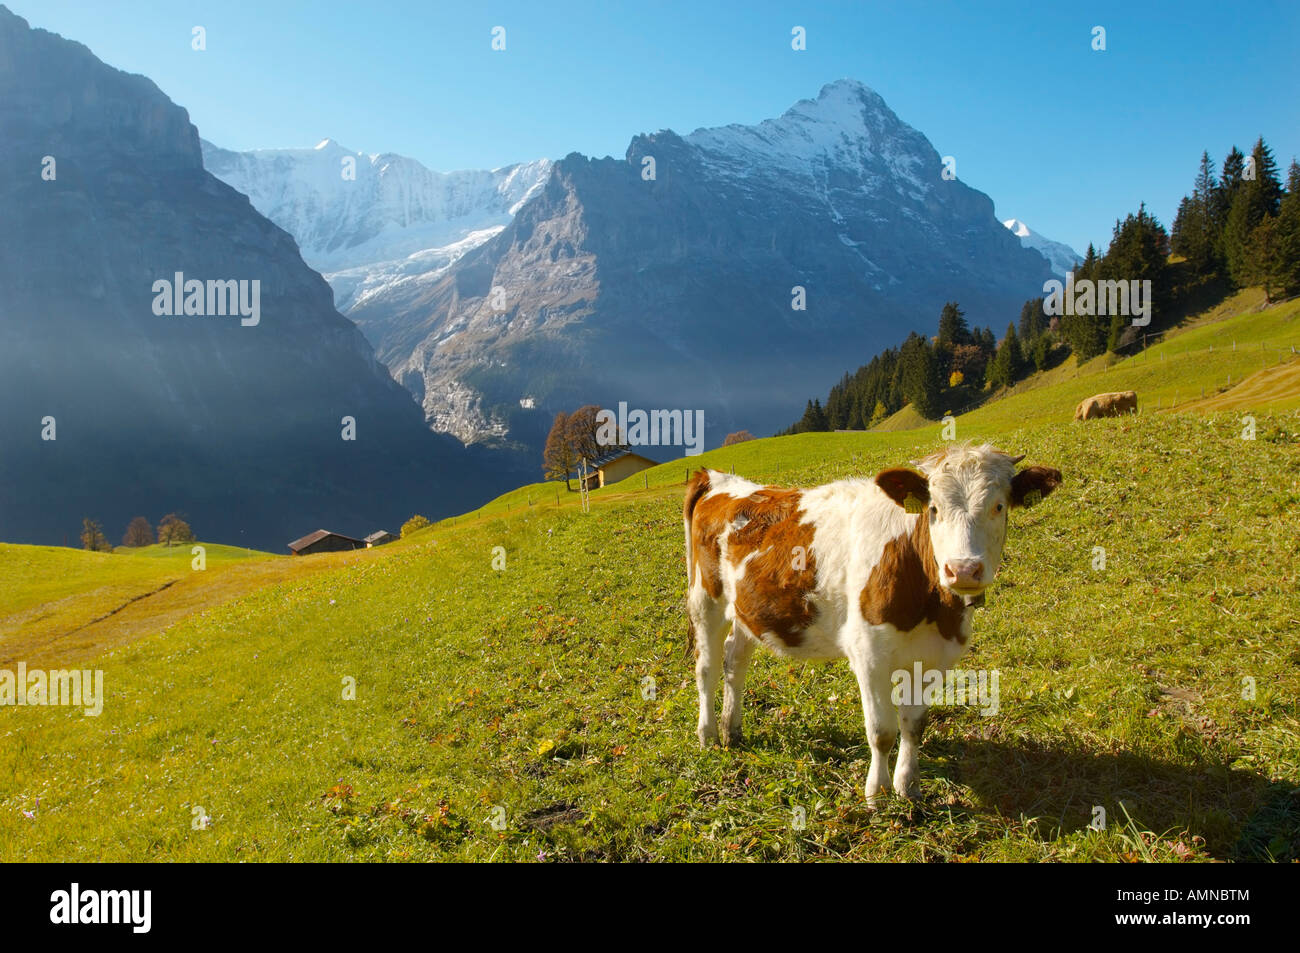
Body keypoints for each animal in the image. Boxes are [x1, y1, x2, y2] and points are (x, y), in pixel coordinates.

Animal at [683, 444, 1061, 804]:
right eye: (934, 509)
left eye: (999, 507)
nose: (964, 569)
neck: (931, 606)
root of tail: (719, 479)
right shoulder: (869, 654)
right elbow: (882, 732)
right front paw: (876, 794)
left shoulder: (936, 656)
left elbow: (913, 725)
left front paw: (908, 787)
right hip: (706, 600)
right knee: (707, 668)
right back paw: (708, 734)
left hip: (745, 608)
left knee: (735, 662)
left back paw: (732, 730)